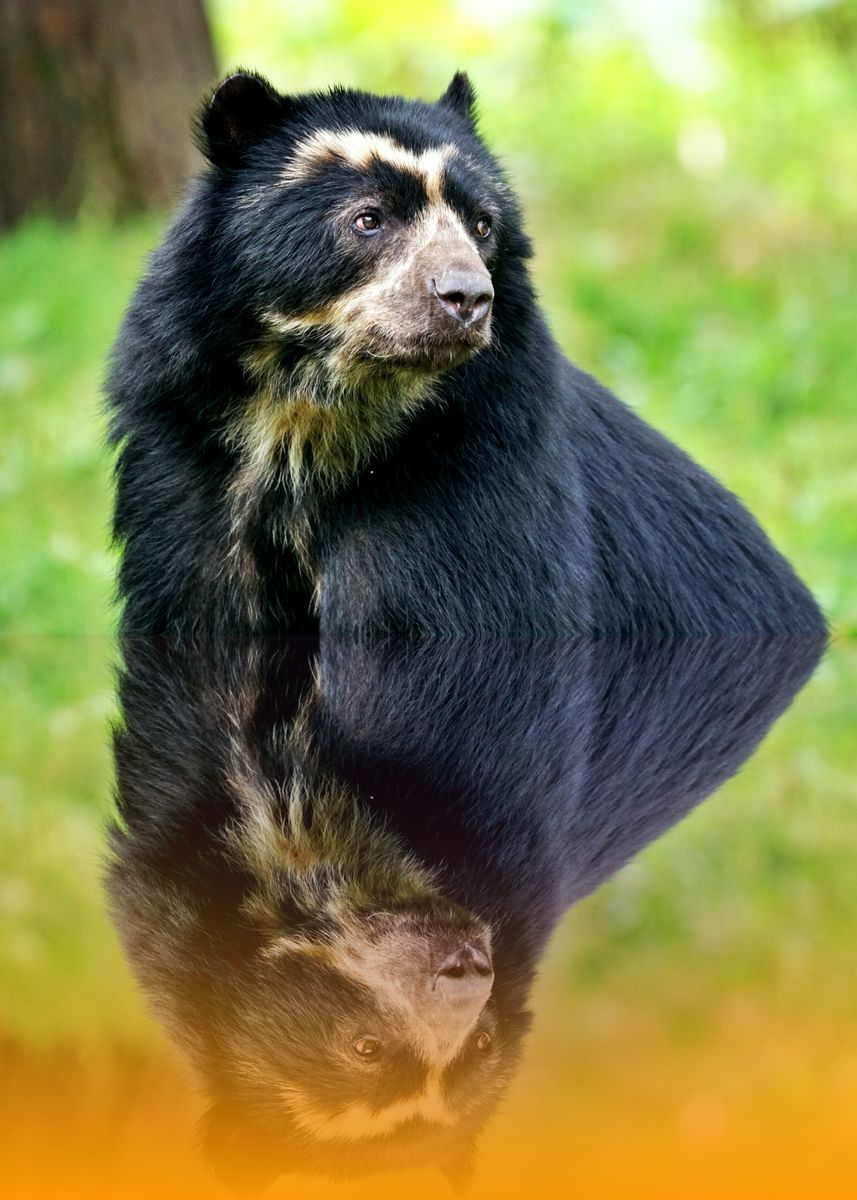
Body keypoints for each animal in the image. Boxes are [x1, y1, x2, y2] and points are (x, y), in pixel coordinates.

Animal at [105, 70, 827, 1189]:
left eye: (481, 225)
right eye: (366, 219)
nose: (464, 299)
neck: (316, 418)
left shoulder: (470, 480)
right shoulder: (183, 462)